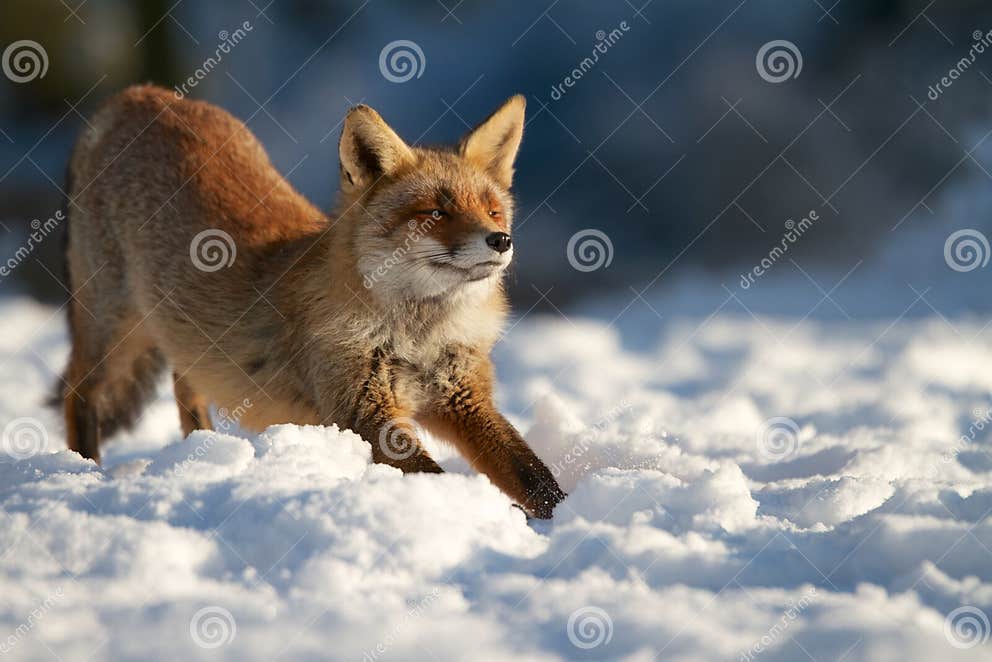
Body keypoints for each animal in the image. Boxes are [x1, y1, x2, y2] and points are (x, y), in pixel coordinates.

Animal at [58, 85, 566, 518]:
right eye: (436, 212)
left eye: (493, 210)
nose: (500, 240)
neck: (416, 335)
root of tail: (142, 92)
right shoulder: (364, 412)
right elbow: (435, 476)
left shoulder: (463, 399)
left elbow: (534, 476)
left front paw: (562, 520)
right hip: (113, 331)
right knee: (76, 391)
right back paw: (84, 471)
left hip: (180, 335)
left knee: (186, 388)